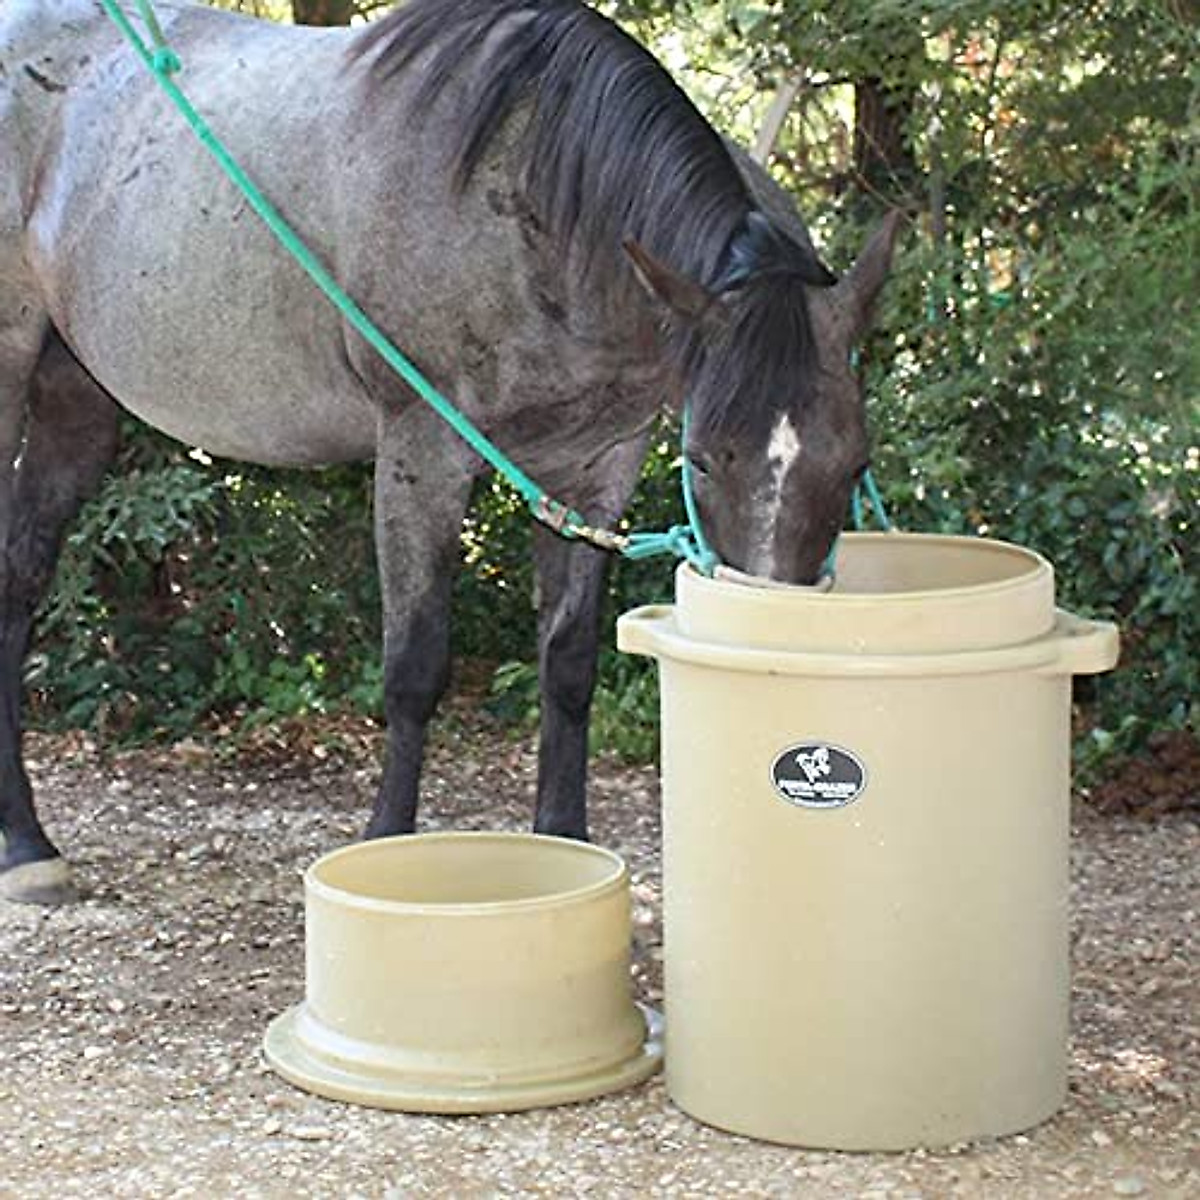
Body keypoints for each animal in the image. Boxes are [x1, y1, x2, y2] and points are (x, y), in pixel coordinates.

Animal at [0, 0, 901, 904]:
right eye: (707, 460)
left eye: (854, 465)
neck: (540, 197)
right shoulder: (422, 452)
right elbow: (415, 666)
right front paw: (386, 850)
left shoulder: (597, 466)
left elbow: (568, 663)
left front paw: (566, 841)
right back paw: (22, 844)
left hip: (75, 398)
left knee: (22, 581)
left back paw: (30, 842)